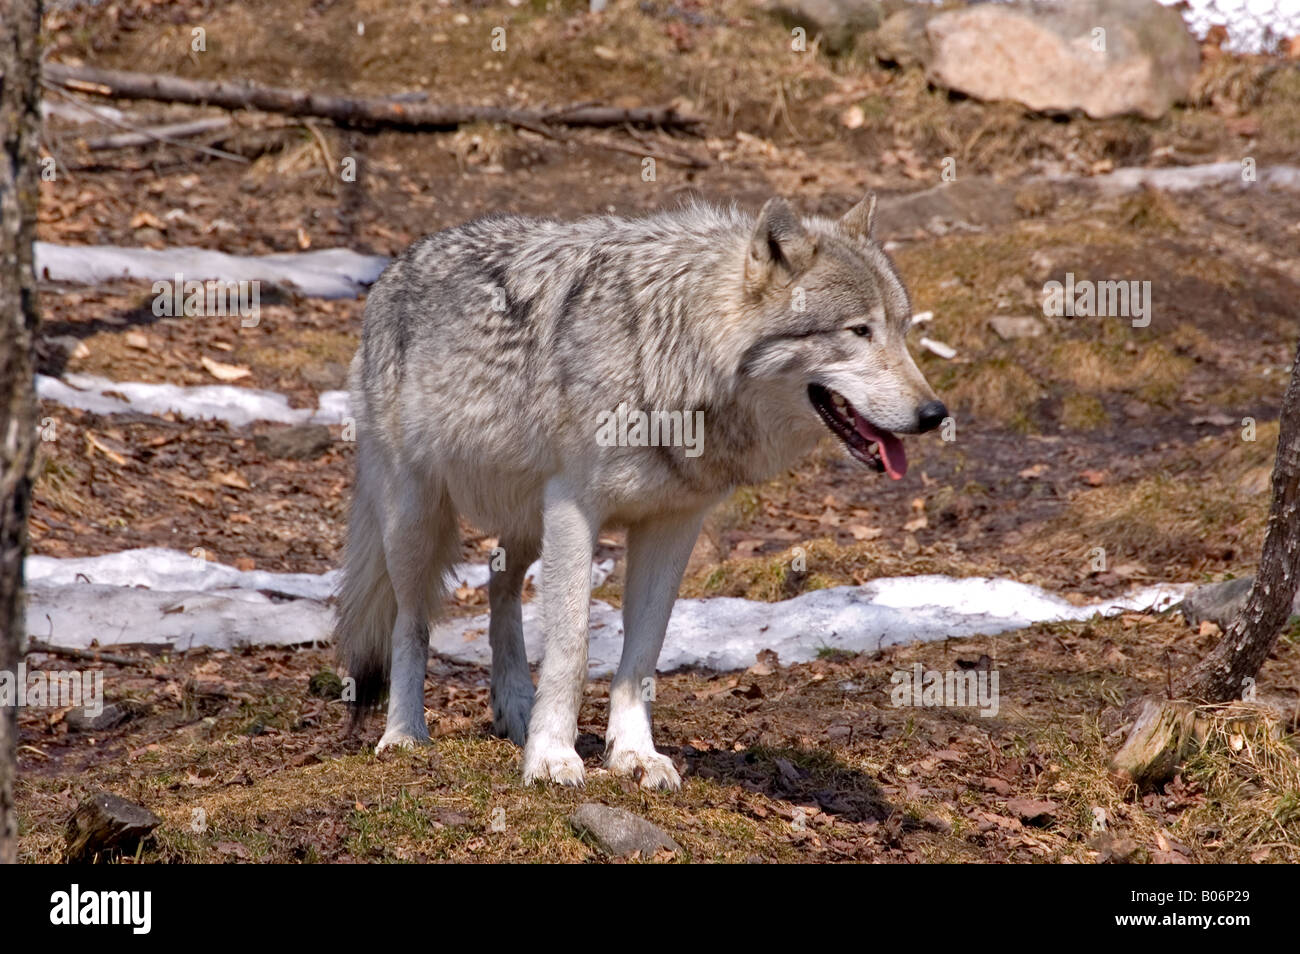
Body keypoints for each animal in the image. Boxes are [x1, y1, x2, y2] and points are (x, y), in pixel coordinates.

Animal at [335, 193, 946, 789]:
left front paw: (633, 754)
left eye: (903, 329)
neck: (666, 354)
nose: (935, 414)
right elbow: (573, 647)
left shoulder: (673, 525)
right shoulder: (574, 509)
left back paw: (515, 706)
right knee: (410, 622)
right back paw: (404, 733)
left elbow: (642, 655)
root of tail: (396, 265)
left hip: (526, 523)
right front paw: (552, 758)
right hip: (416, 520)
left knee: (496, 583)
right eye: (859, 331)